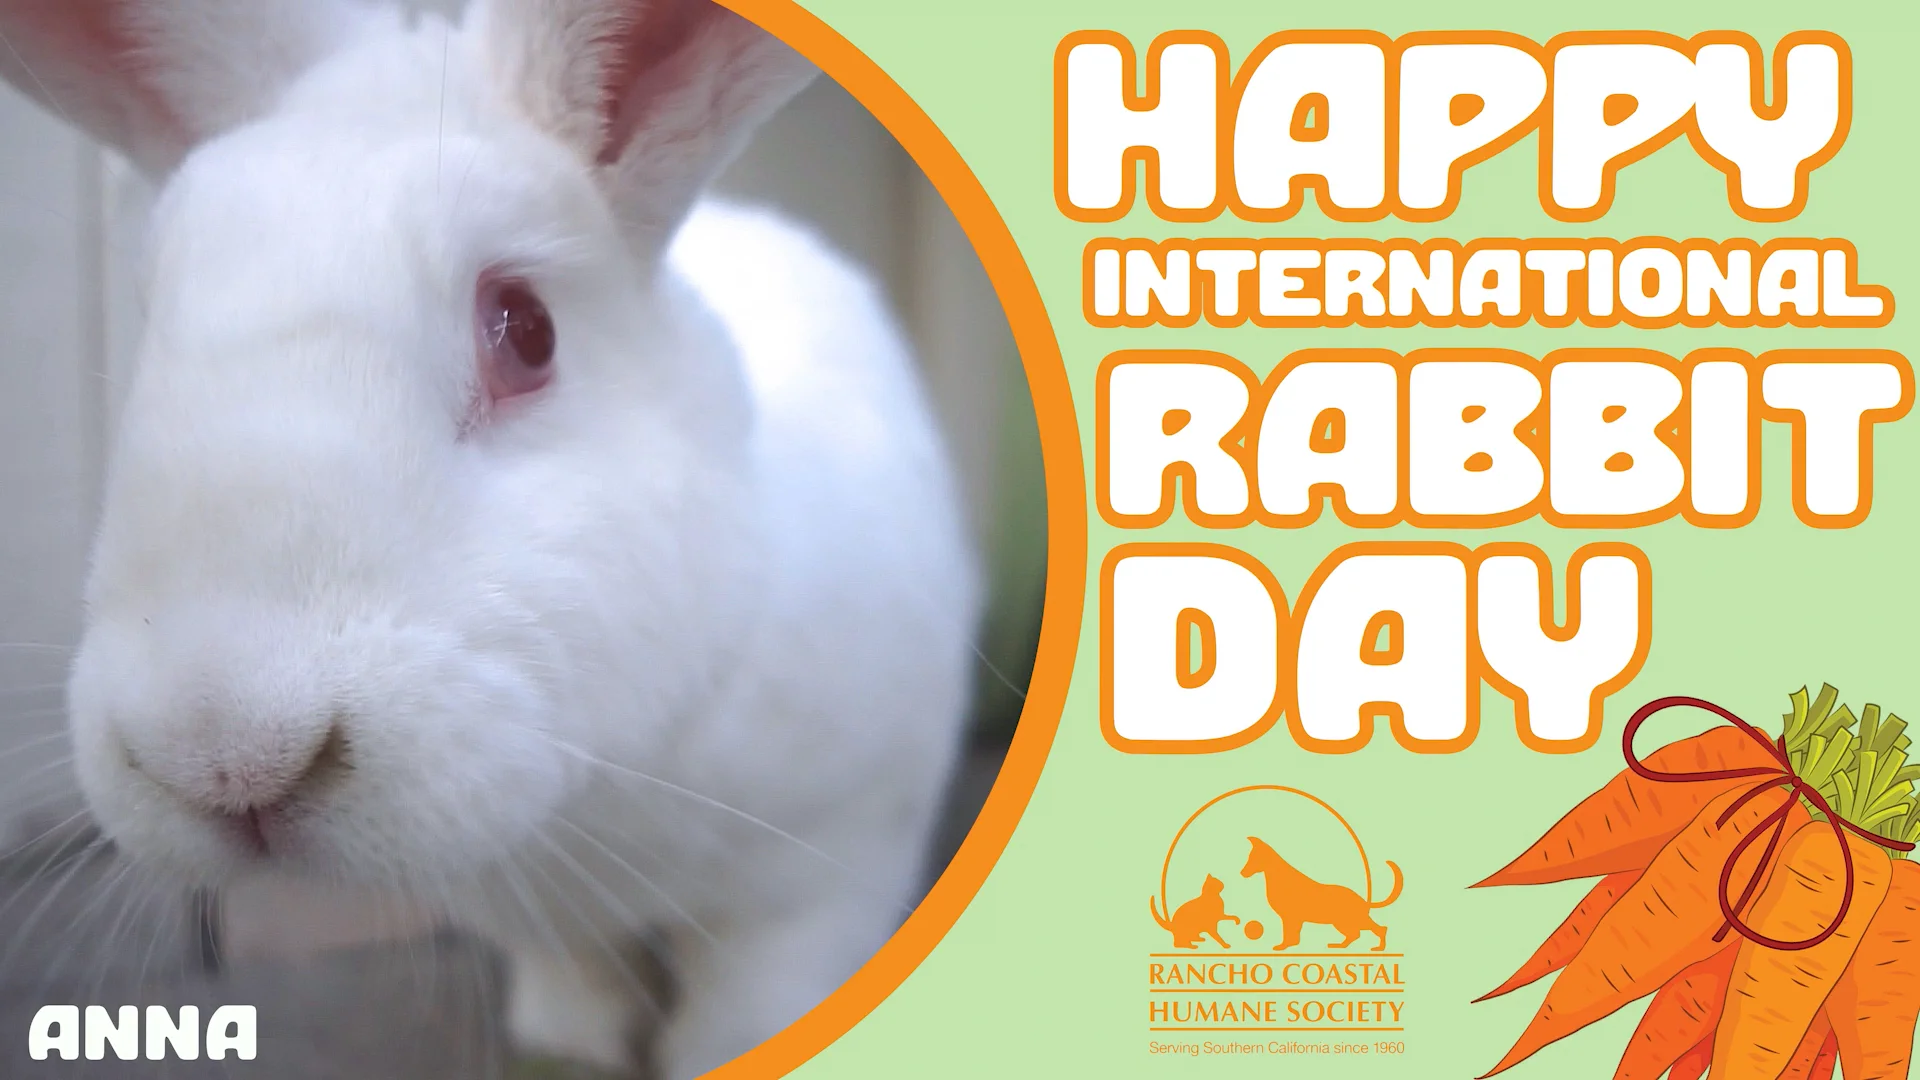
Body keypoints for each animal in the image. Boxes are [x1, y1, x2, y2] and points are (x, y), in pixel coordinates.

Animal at [0, 0, 981, 1075]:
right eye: (151, 321)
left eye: (526, 329)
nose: (224, 761)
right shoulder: (530, 920)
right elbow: (573, 1002)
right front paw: (570, 1044)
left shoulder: (827, 872)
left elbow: (741, 1023)